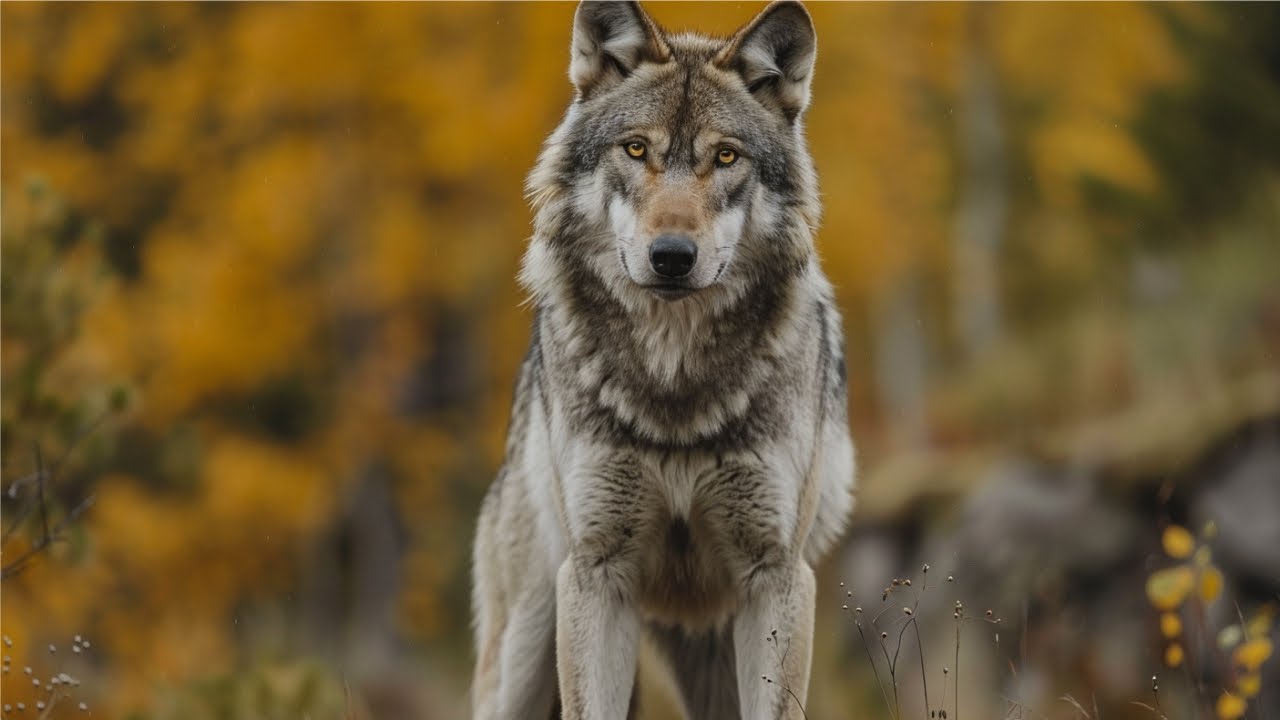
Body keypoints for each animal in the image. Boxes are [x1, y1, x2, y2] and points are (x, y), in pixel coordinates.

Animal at [471, 2, 855, 718]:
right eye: (635, 149)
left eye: (726, 156)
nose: (672, 256)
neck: (674, 379)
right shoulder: (597, 574)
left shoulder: (776, 578)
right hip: (523, 652)